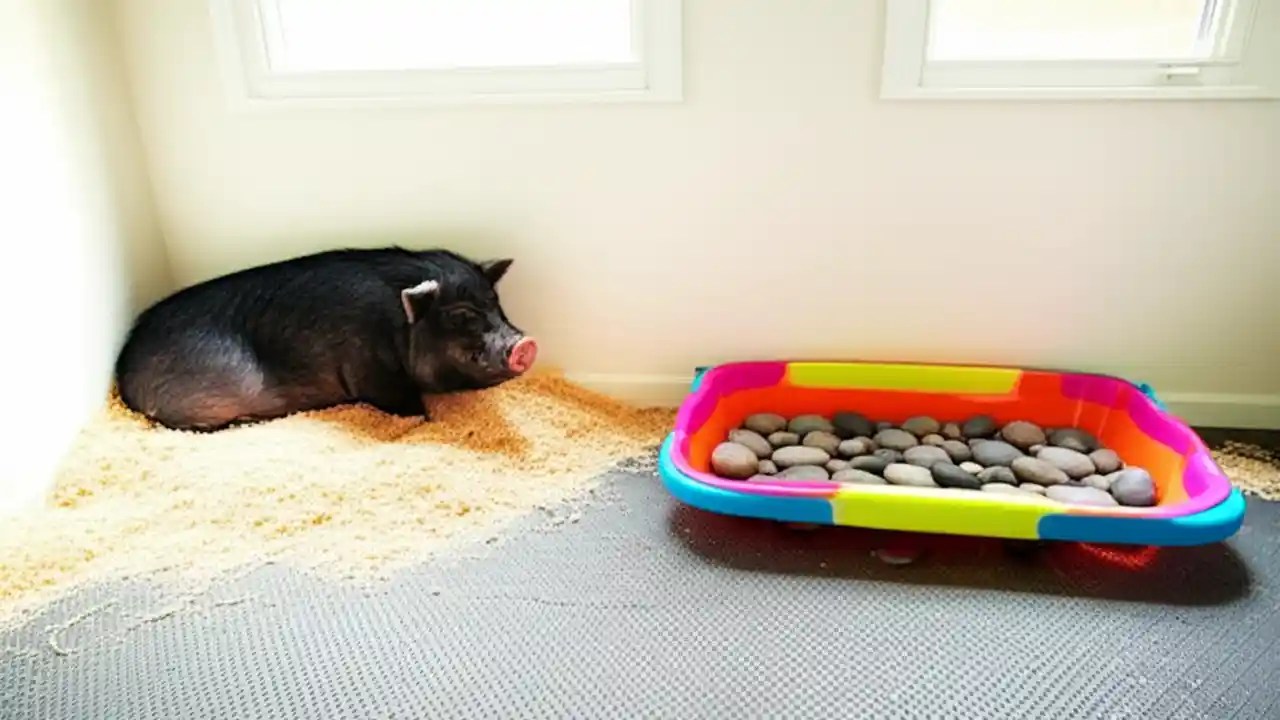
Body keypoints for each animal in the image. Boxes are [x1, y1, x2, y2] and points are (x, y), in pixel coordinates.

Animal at [114, 247, 537, 431]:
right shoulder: (371, 372)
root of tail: (124, 375)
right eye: (460, 317)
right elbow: (407, 406)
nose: (525, 343)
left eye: (496, 304)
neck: (394, 328)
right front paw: (422, 419)